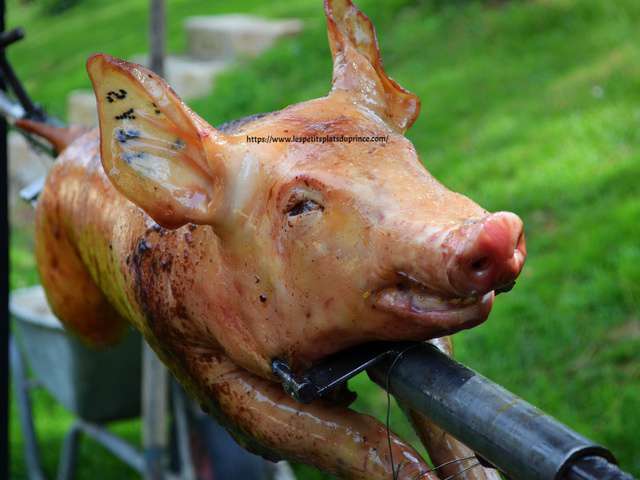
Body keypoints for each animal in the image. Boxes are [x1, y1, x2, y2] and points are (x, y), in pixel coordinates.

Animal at [27, 0, 526, 478]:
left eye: (411, 155)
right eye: (299, 206)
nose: (497, 231)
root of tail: (74, 140)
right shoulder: (194, 360)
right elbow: (332, 436)